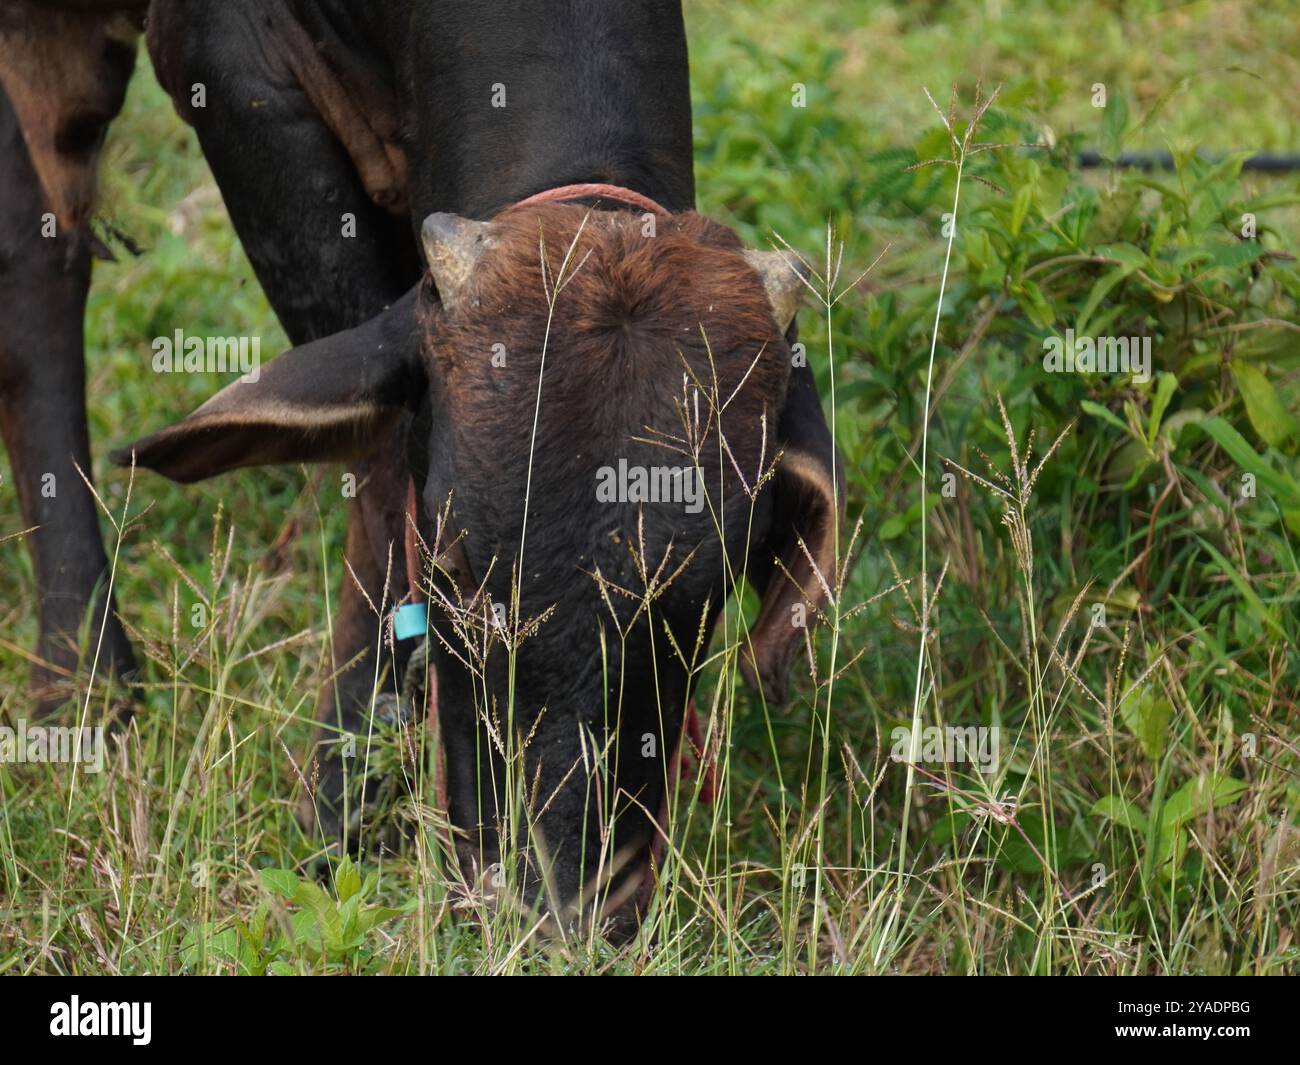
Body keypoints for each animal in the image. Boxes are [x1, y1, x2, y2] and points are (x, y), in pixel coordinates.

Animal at [1, 0, 843, 935]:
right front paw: (343, 794)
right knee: (33, 268)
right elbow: (376, 466)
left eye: (705, 596)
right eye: (450, 570)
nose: (559, 903)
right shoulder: (234, 74)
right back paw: (83, 678)